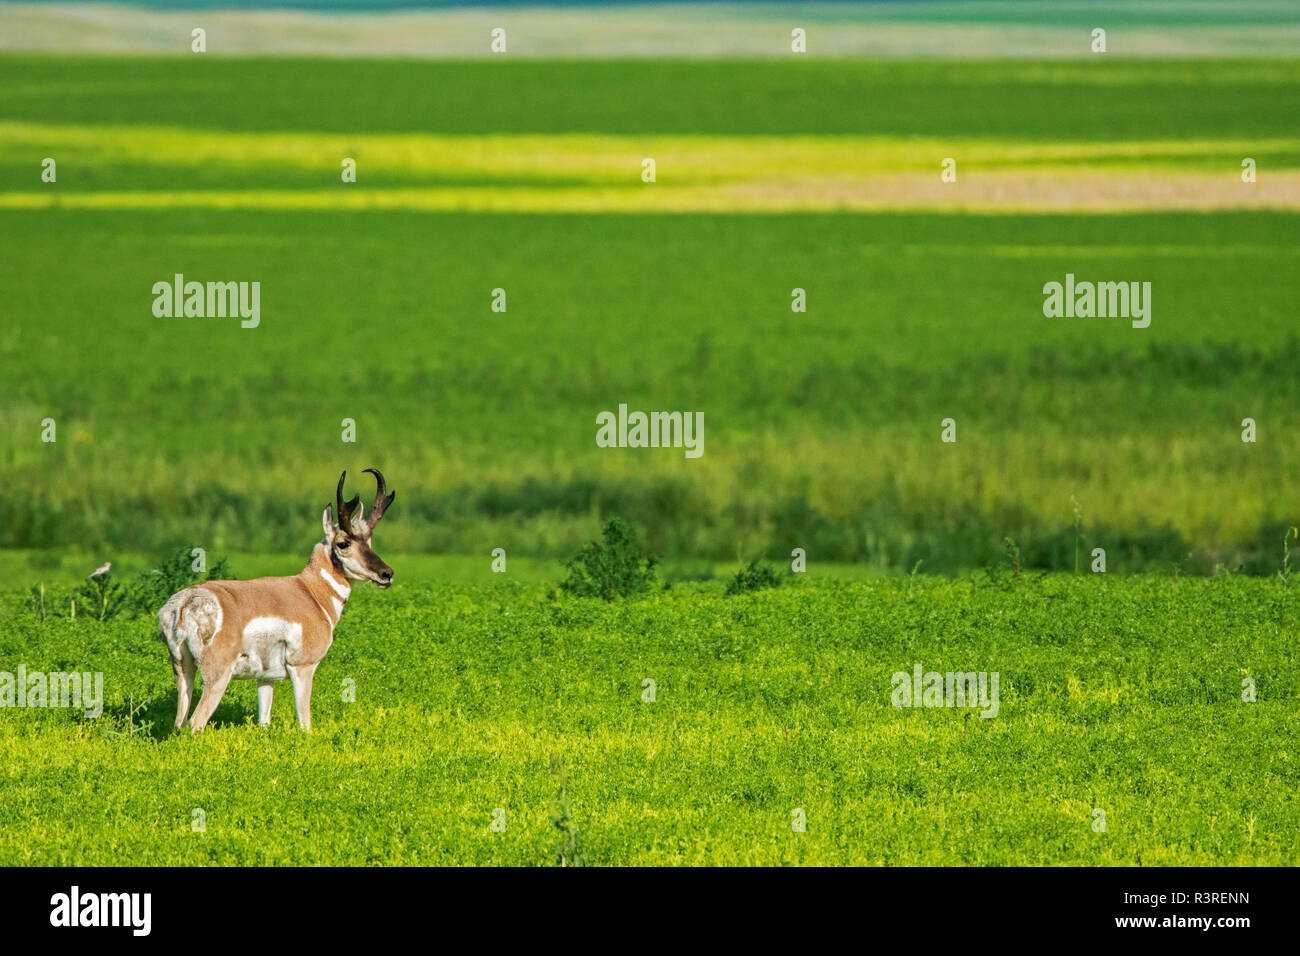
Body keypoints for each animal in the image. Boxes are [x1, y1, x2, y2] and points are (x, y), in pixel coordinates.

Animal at [157, 469, 395, 732]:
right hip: (218, 674)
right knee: (195, 722)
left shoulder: (265, 677)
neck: (312, 592)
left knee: (179, 722)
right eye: (343, 543)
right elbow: (304, 720)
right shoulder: (303, 667)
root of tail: (184, 603)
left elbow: (264, 720)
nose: (387, 574)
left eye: (369, 542)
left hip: (182, 668)